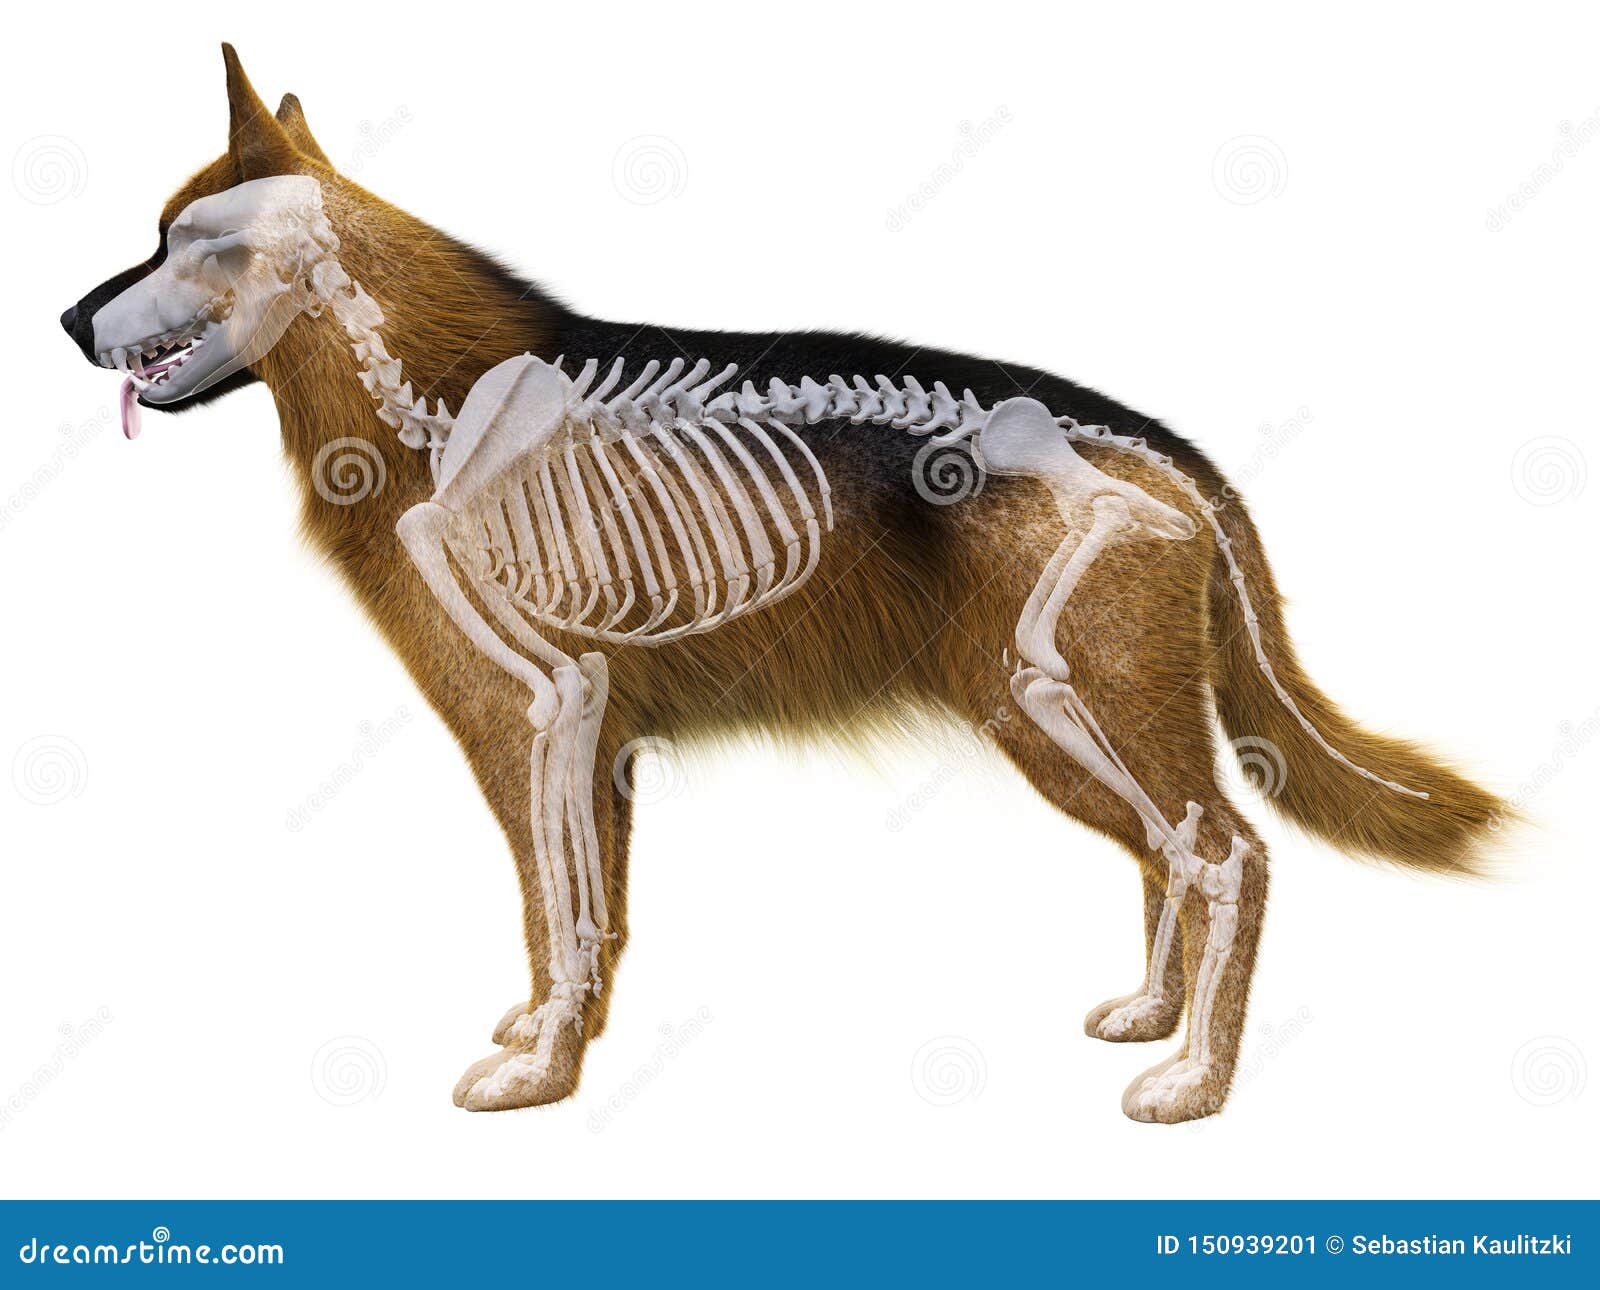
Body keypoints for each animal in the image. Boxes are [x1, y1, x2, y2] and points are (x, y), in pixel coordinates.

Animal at [59, 46, 1502, 1122]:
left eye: (175, 238)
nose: (69, 320)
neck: (430, 408)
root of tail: (1153, 446)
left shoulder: (546, 715)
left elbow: (559, 910)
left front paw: (541, 1074)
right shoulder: (583, 737)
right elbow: (578, 915)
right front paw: (551, 1041)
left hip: (1084, 706)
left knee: (1228, 855)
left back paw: (1195, 1082)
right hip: (1052, 726)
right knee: (1173, 855)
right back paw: (1153, 1020)